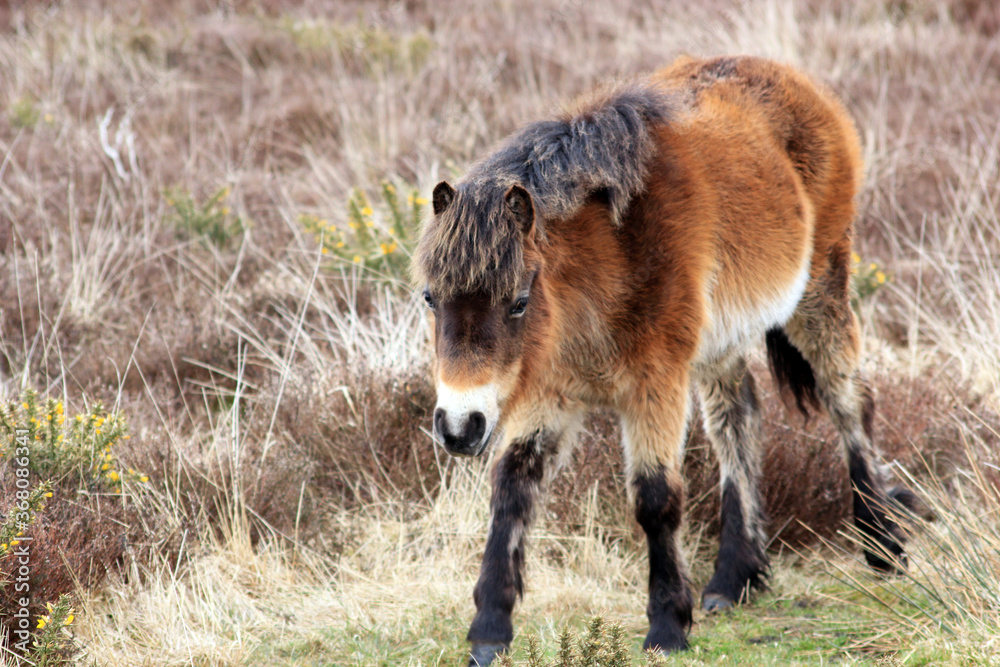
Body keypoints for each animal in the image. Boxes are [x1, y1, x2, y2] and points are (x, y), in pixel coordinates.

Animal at [413, 55, 912, 667]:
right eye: (430, 298)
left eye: (519, 302)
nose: (459, 427)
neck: (609, 267)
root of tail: (796, 81)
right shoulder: (548, 394)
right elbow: (512, 488)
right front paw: (489, 630)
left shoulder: (655, 384)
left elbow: (655, 498)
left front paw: (668, 626)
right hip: (720, 343)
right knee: (739, 421)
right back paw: (734, 577)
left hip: (821, 290)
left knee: (849, 403)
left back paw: (883, 545)